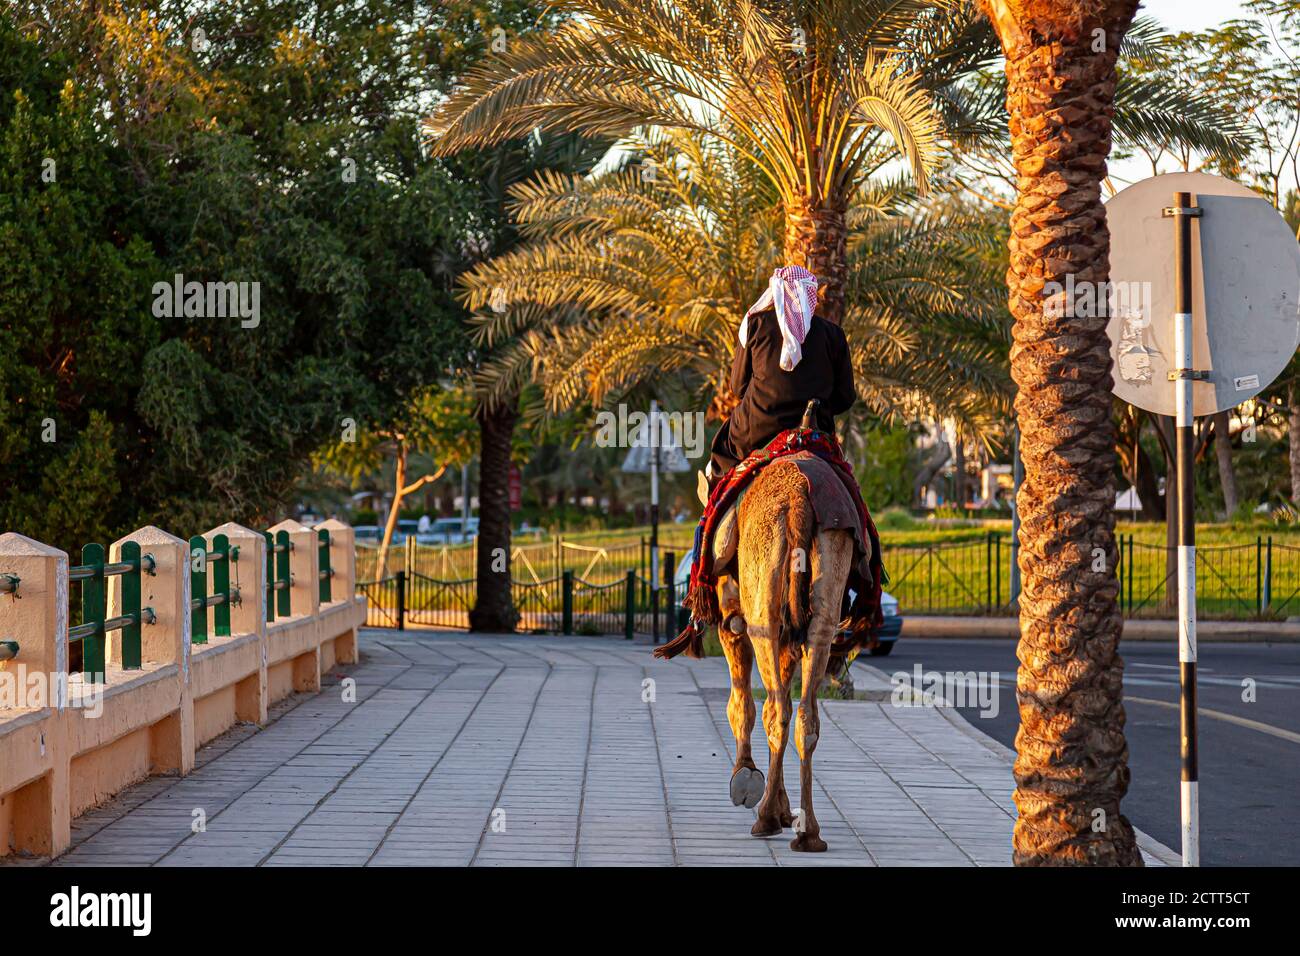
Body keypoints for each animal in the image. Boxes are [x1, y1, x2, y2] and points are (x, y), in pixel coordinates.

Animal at [712, 456, 859, 852]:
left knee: (775, 708)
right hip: (827, 580)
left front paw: (746, 776)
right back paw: (809, 833)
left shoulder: (730, 615)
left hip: (761, 602)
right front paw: (782, 808)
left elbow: (742, 705)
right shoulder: (790, 640)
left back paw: (764, 818)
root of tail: (796, 502)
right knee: (805, 714)